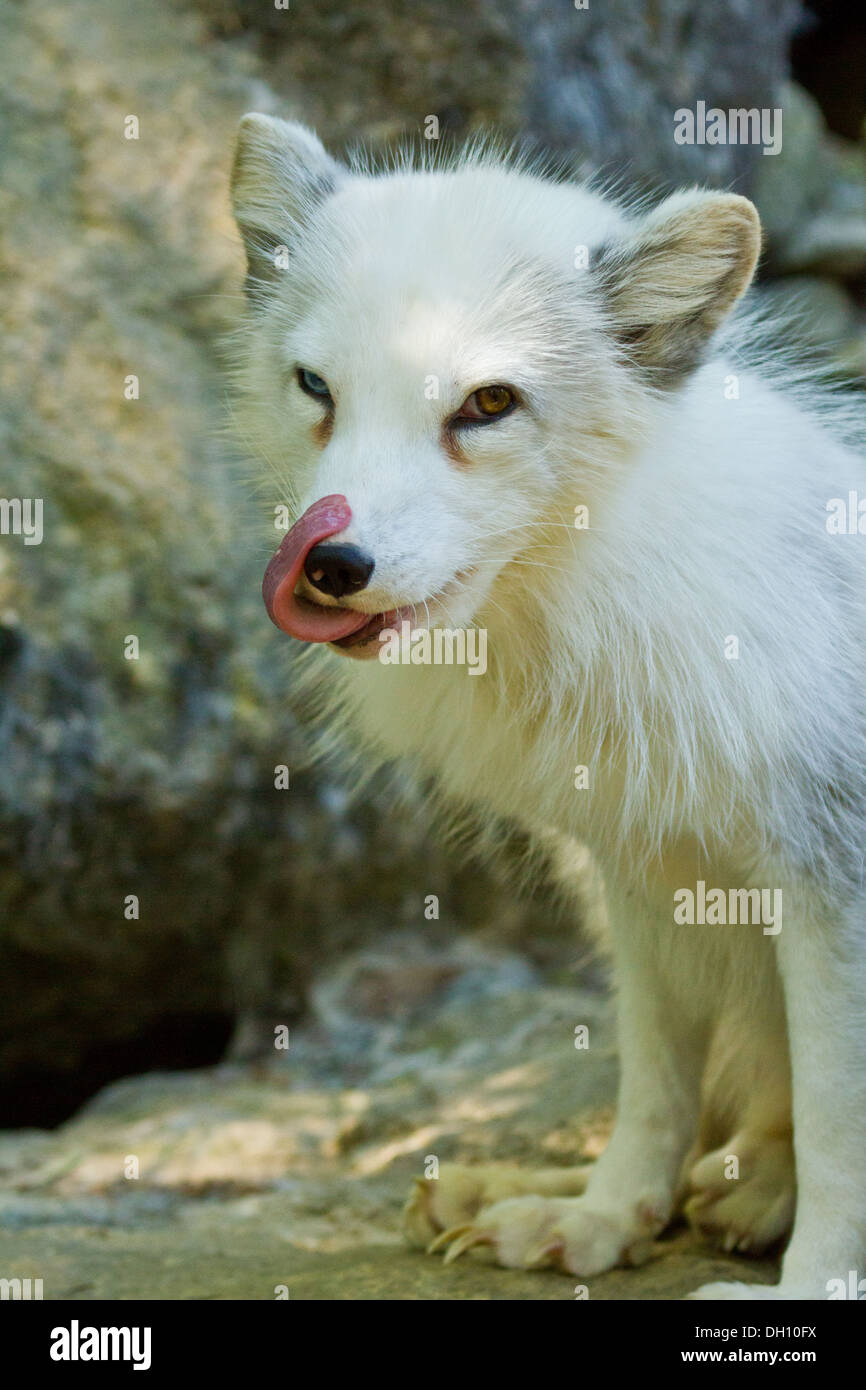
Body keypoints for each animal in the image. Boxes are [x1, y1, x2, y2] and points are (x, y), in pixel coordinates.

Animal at [228, 114, 866, 1299]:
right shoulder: (641, 866)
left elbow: (839, 1119)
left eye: (487, 404)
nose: (333, 565)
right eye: (314, 386)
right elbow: (653, 1080)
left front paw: (818, 1287)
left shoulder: (828, 882)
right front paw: (606, 1216)